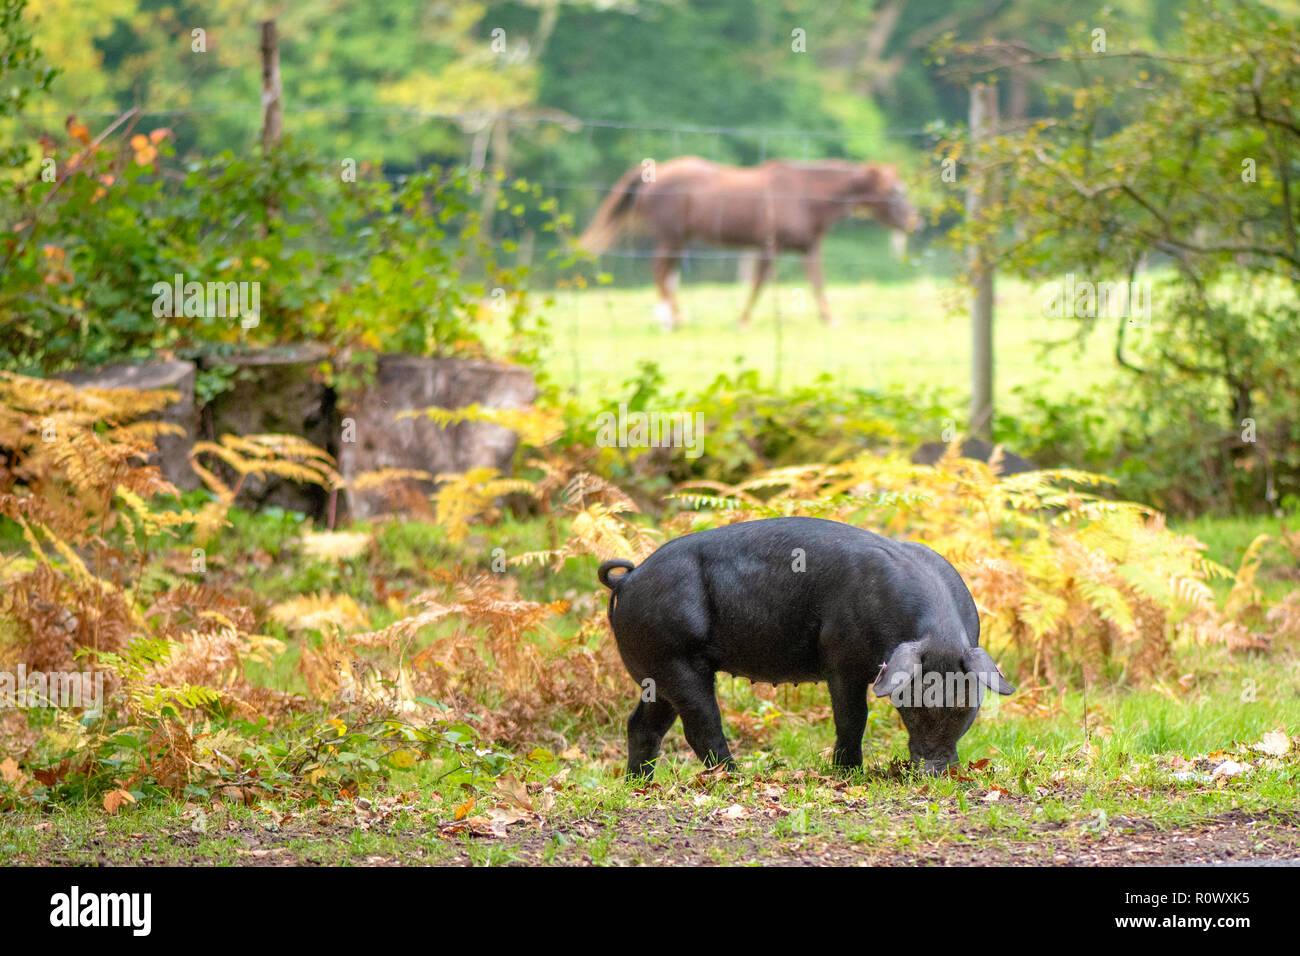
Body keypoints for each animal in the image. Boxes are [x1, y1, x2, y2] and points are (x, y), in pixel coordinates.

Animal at [597, 516, 1013, 777]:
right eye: (911, 705)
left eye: (968, 706)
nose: (938, 772)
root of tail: (627, 579)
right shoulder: (840, 660)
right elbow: (852, 718)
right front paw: (849, 774)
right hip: (676, 659)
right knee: (700, 727)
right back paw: (736, 778)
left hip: (655, 672)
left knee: (642, 725)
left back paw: (640, 784)